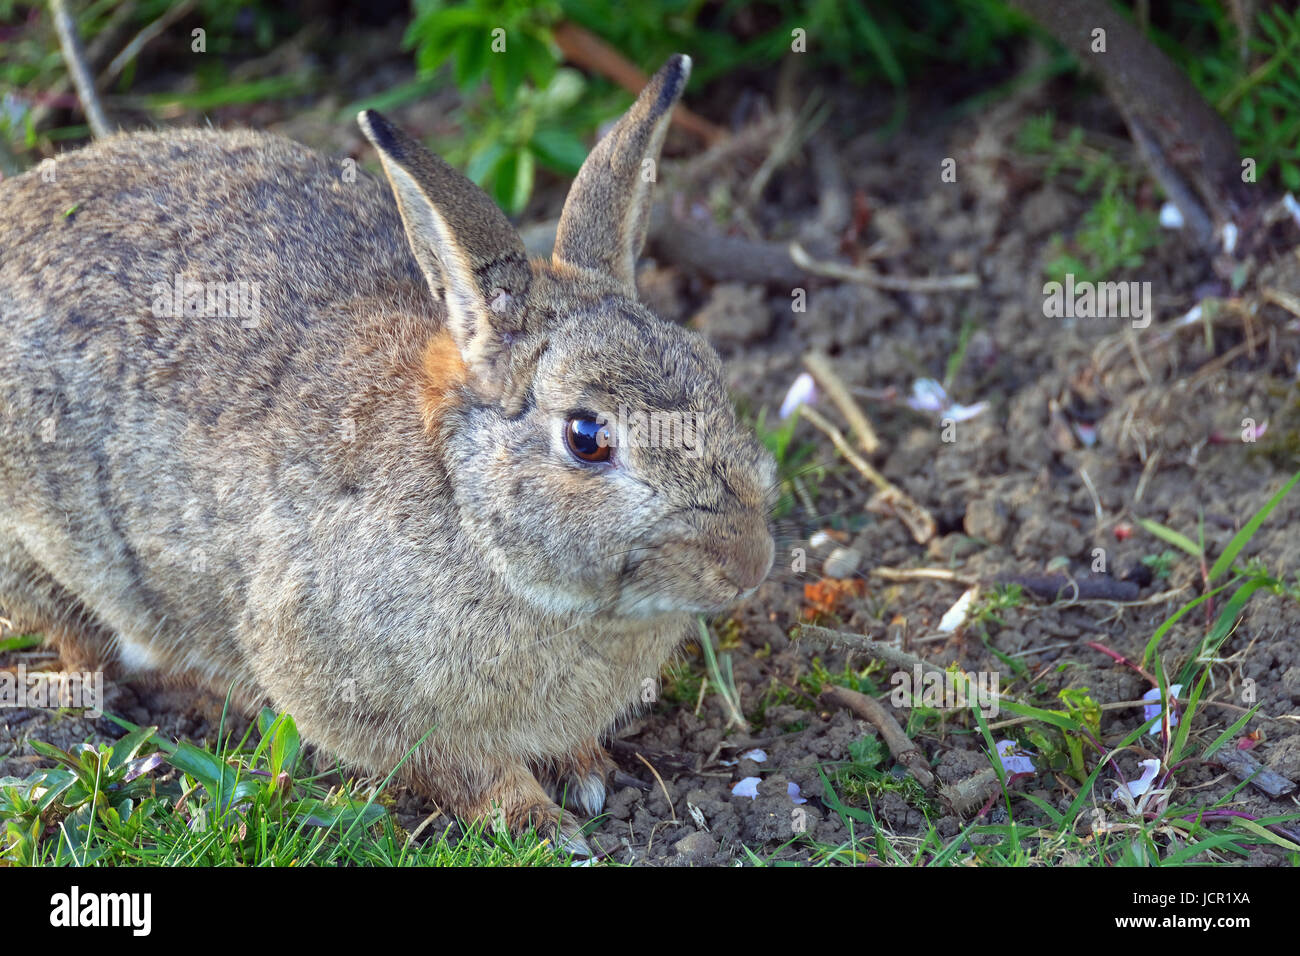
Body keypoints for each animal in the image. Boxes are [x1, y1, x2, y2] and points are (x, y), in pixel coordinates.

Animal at [0, 54, 776, 853]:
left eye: (710, 368)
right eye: (587, 437)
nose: (749, 564)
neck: (470, 512)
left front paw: (584, 770)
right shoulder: (350, 685)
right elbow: (460, 770)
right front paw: (539, 822)